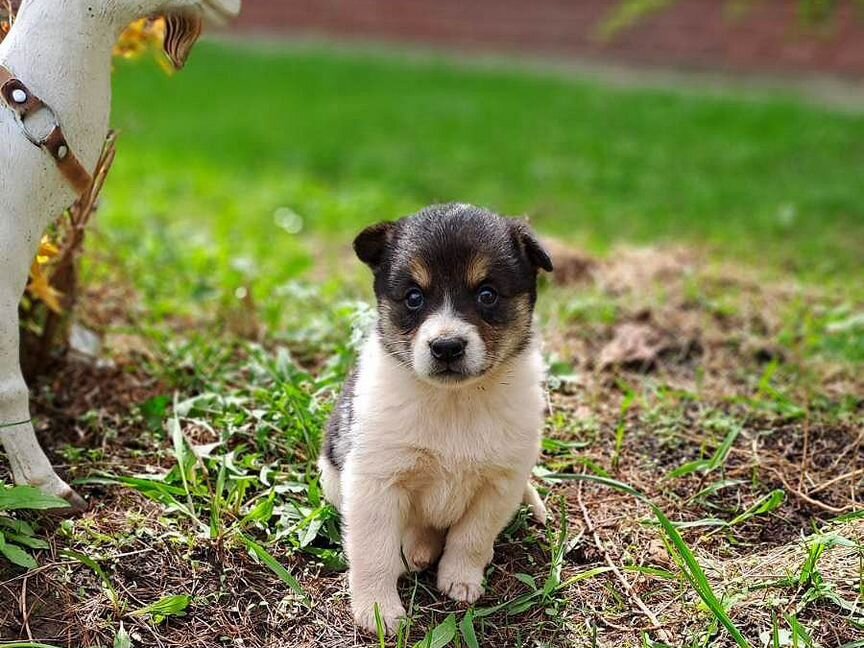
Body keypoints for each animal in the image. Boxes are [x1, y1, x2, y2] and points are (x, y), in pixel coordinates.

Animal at [318, 202, 552, 632]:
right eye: (413, 297)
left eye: (487, 294)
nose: (446, 347)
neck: (453, 401)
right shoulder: (375, 483)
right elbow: (374, 552)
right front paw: (377, 609)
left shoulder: (499, 484)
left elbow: (471, 537)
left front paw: (460, 579)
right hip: (332, 477)